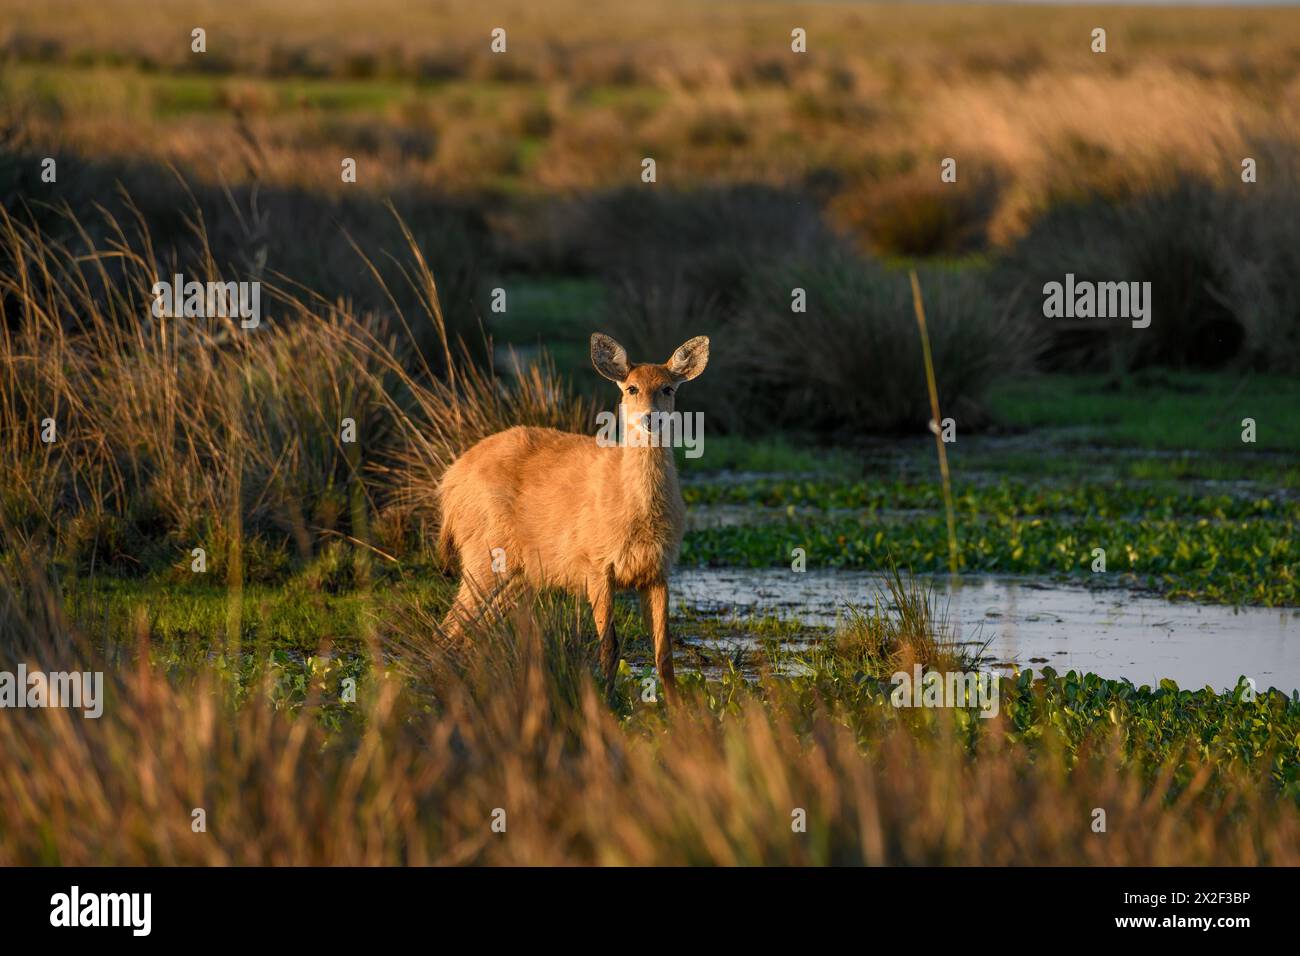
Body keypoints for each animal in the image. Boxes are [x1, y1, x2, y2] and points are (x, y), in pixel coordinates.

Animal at [436, 333, 709, 703]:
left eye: (668, 388)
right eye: (632, 388)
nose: (651, 419)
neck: (636, 512)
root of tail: (449, 483)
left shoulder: (658, 571)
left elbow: (663, 653)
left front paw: (681, 710)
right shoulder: (597, 565)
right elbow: (609, 649)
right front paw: (607, 704)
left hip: (518, 573)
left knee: (470, 630)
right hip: (482, 551)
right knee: (449, 628)